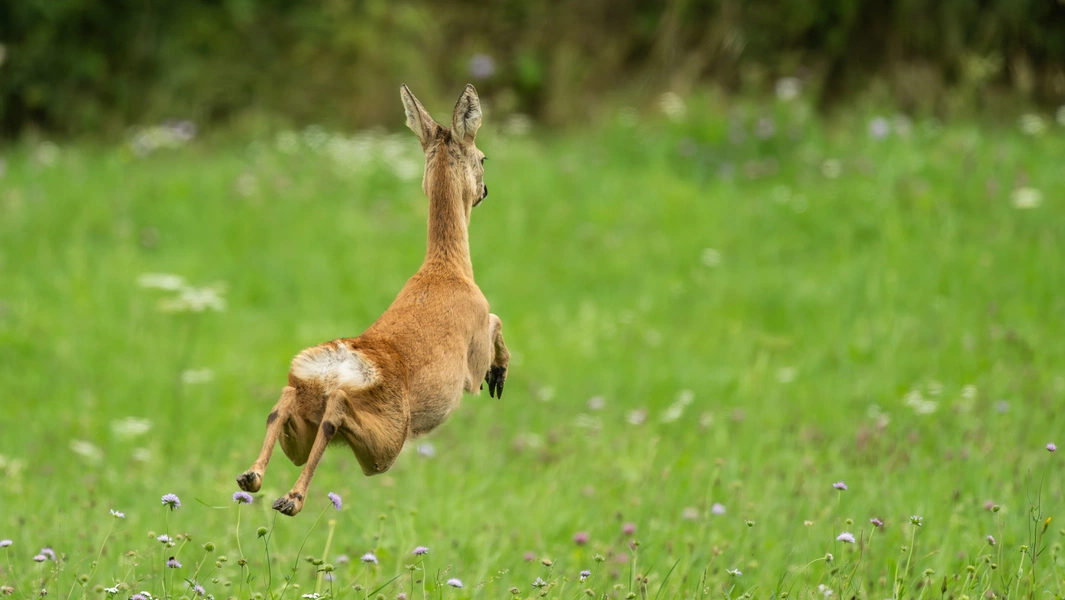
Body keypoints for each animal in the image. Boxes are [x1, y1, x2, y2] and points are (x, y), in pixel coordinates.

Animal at [235, 84, 510, 516]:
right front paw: (499, 375)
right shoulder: (471, 361)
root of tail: (335, 368)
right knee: (336, 414)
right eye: (483, 157)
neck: (448, 268)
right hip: (387, 441)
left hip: (308, 426)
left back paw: (253, 477)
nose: (485, 191)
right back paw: (291, 499)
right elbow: (497, 321)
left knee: (284, 404)